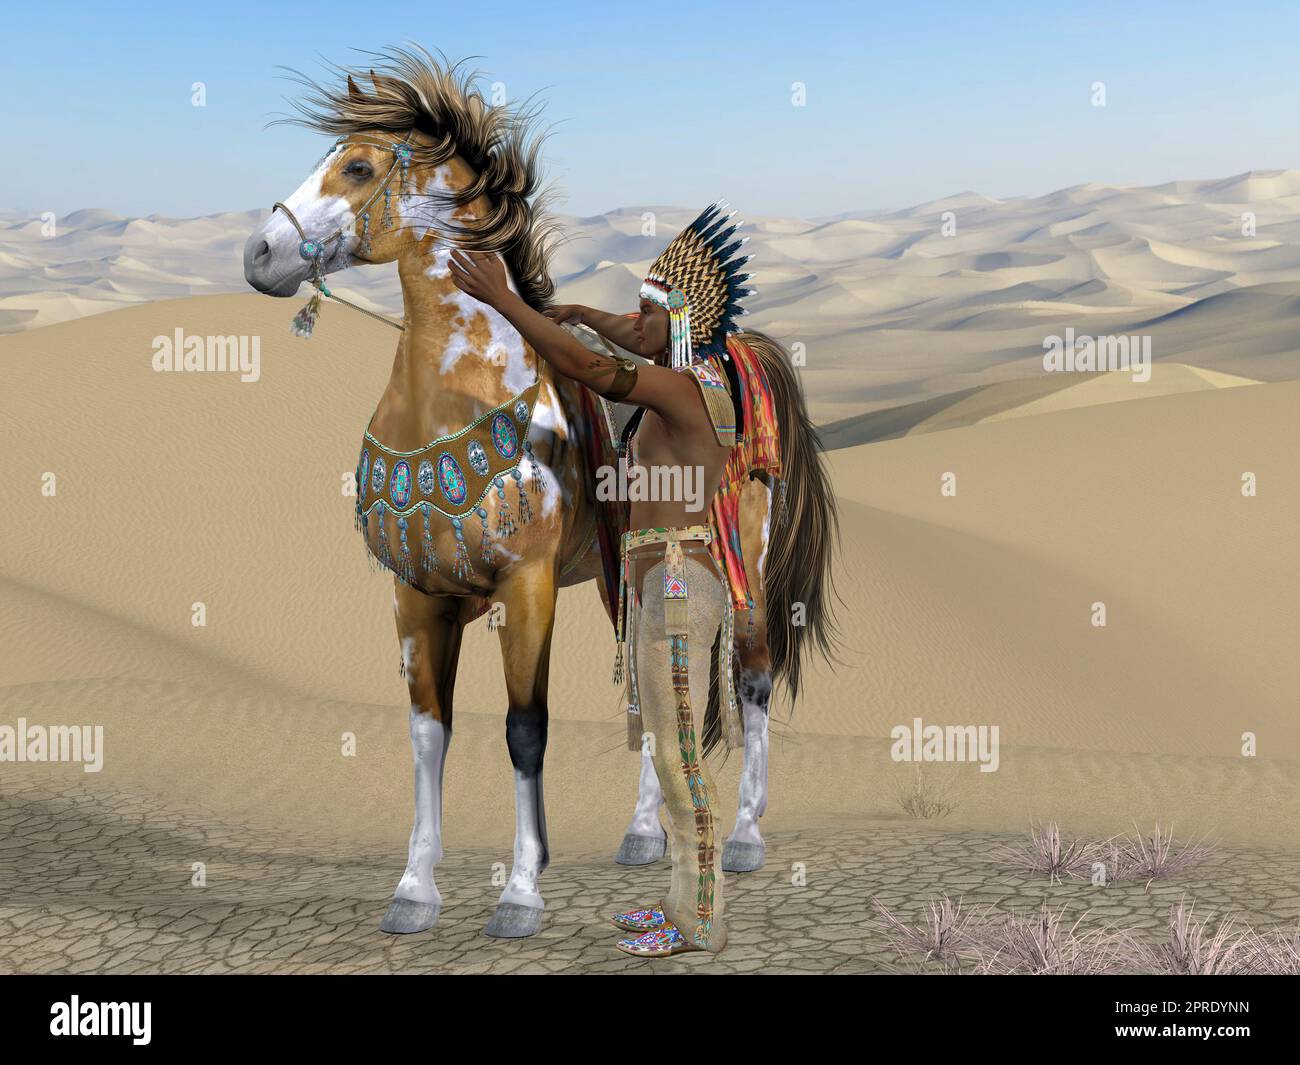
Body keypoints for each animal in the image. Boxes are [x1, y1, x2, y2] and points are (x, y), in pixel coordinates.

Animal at [242, 47, 836, 939]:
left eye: (358, 166)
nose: (260, 253)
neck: (460, 395)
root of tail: (734, 354)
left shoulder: (526, 588)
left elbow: (526, 730)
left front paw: (521, 892)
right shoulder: (416, 594)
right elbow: (429, 734)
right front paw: (414, 889)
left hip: (746, 568)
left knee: (753, 677)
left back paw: (742, 839)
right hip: (630, 574)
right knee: (656, 683)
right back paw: (644, 833)